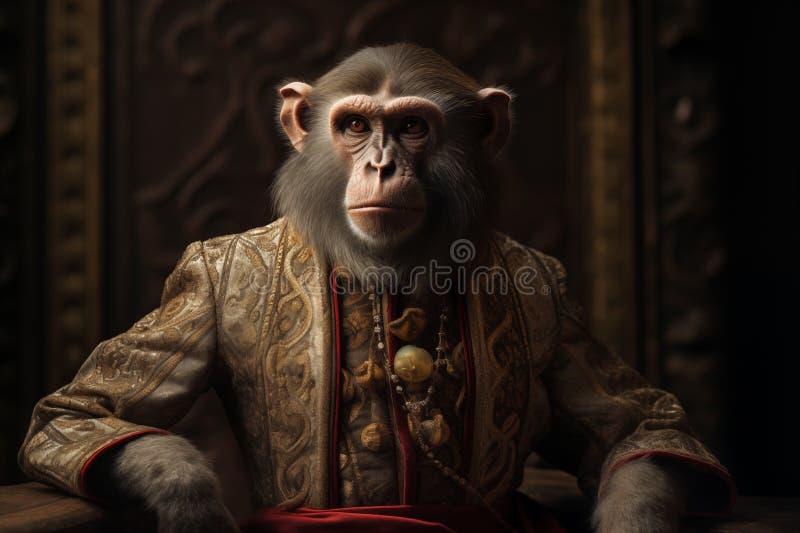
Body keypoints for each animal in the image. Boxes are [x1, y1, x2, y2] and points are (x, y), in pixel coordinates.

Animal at [20, 43, 732, 533]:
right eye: (357, 127)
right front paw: (189, 499)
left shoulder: (556, 298)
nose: (382, 165)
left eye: (412, 127)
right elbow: (81, 412)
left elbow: (643, 428)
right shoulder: (199, 288)